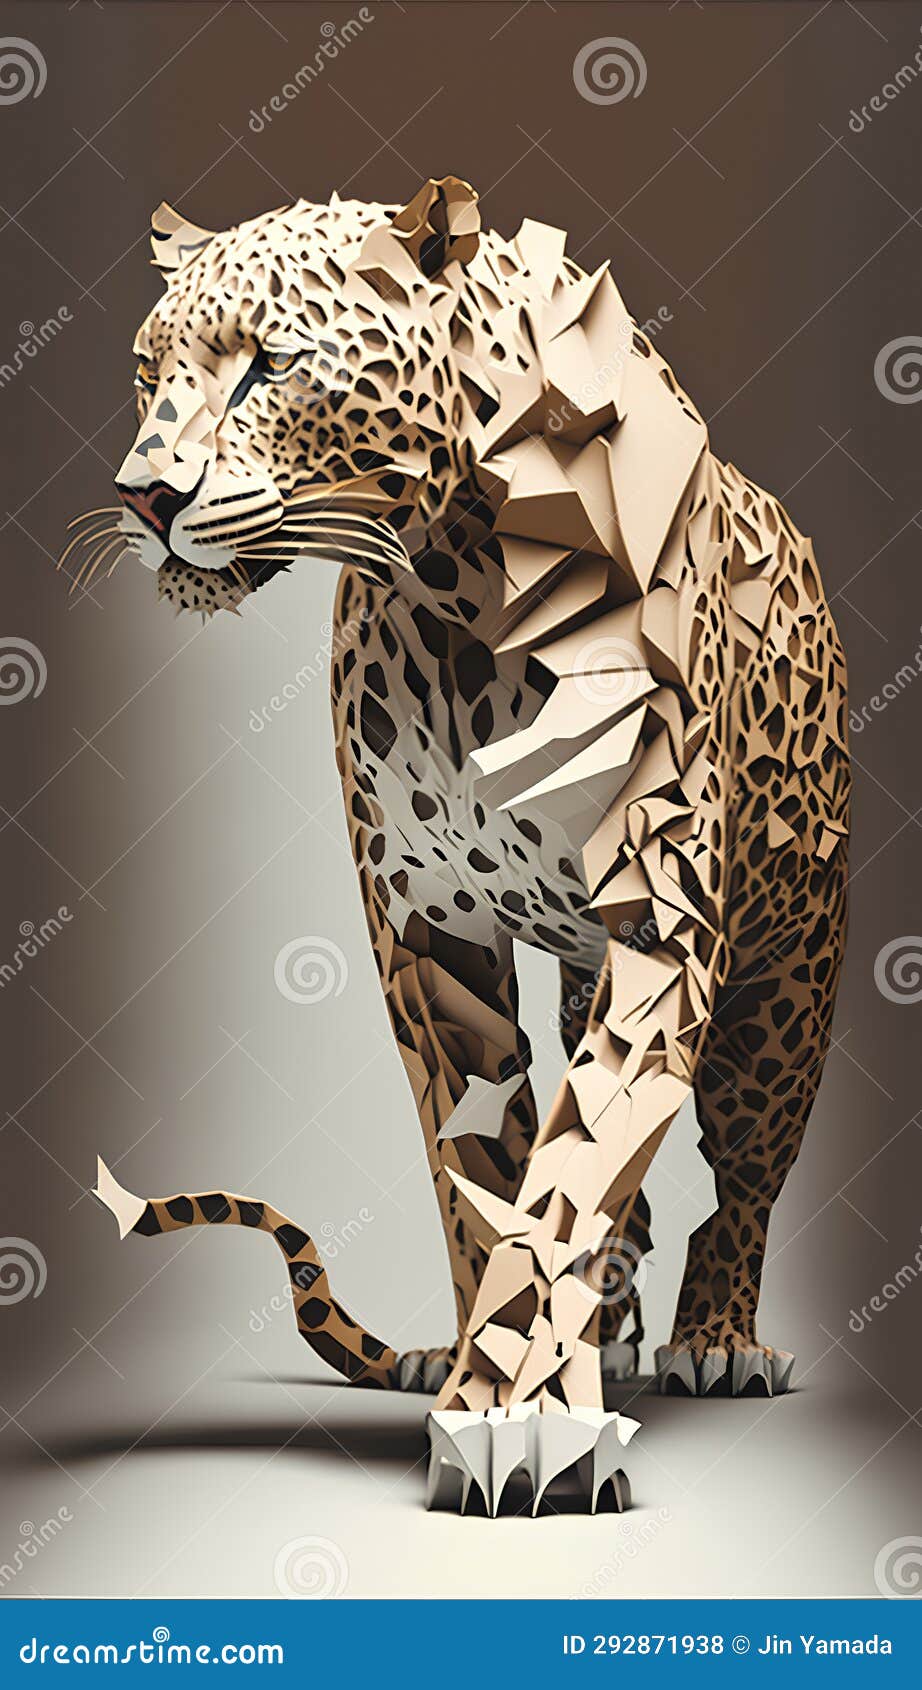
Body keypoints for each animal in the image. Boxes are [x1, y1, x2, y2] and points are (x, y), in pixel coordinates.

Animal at [78, 176, 850, 1515]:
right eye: (145, 369)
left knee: (740, 1176)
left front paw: (527, 1419)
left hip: (786, 980)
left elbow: (574, 1175)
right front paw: (493, 1383)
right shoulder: (433, 934)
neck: (457, 584)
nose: (145, 498)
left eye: (267, 365)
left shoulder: (661, 921)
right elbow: (486, 1176)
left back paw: (716, 1337)